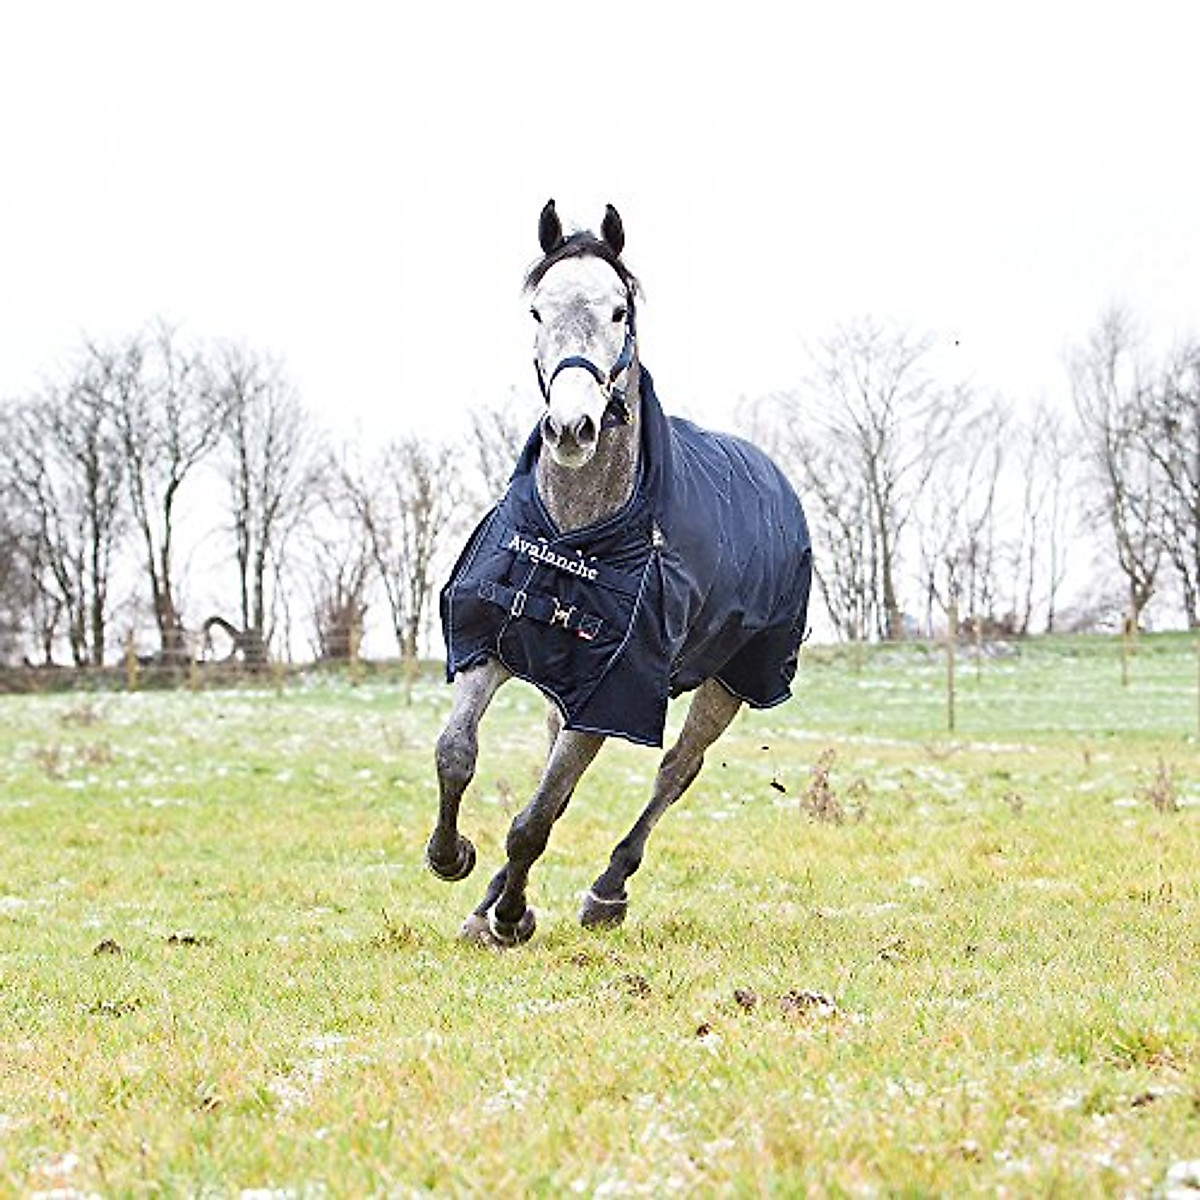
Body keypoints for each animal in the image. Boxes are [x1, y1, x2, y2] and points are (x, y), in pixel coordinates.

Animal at [427, 200, 812, 946]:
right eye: (537, 309)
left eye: (618, 310)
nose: (570, 428)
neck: (574, 535)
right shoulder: (496, 647)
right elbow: (458, 753)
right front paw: (454, 860)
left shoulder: (611, 693)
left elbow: (533, 820)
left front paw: (512, 916)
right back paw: (491, 902)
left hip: (729, 685)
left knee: (674, 773)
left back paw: (606, 891)